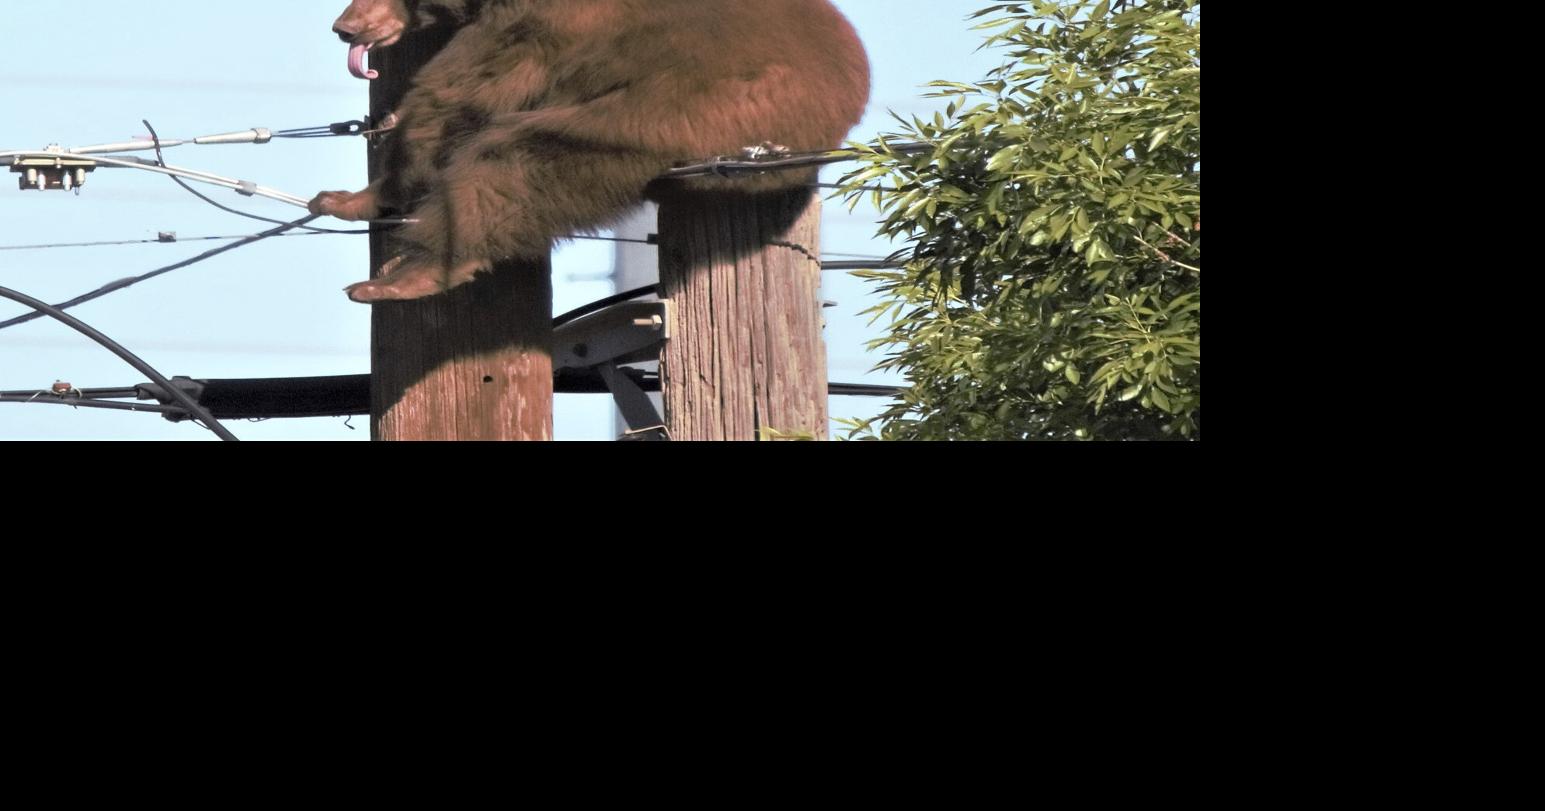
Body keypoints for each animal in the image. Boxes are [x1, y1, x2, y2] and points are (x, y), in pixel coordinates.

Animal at [310, 0, 871, 302]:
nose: (343, 27)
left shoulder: (542, 22)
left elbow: (462, 91)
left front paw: (354, 196)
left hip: (693, 106)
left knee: (521, 160)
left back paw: (404, 278)